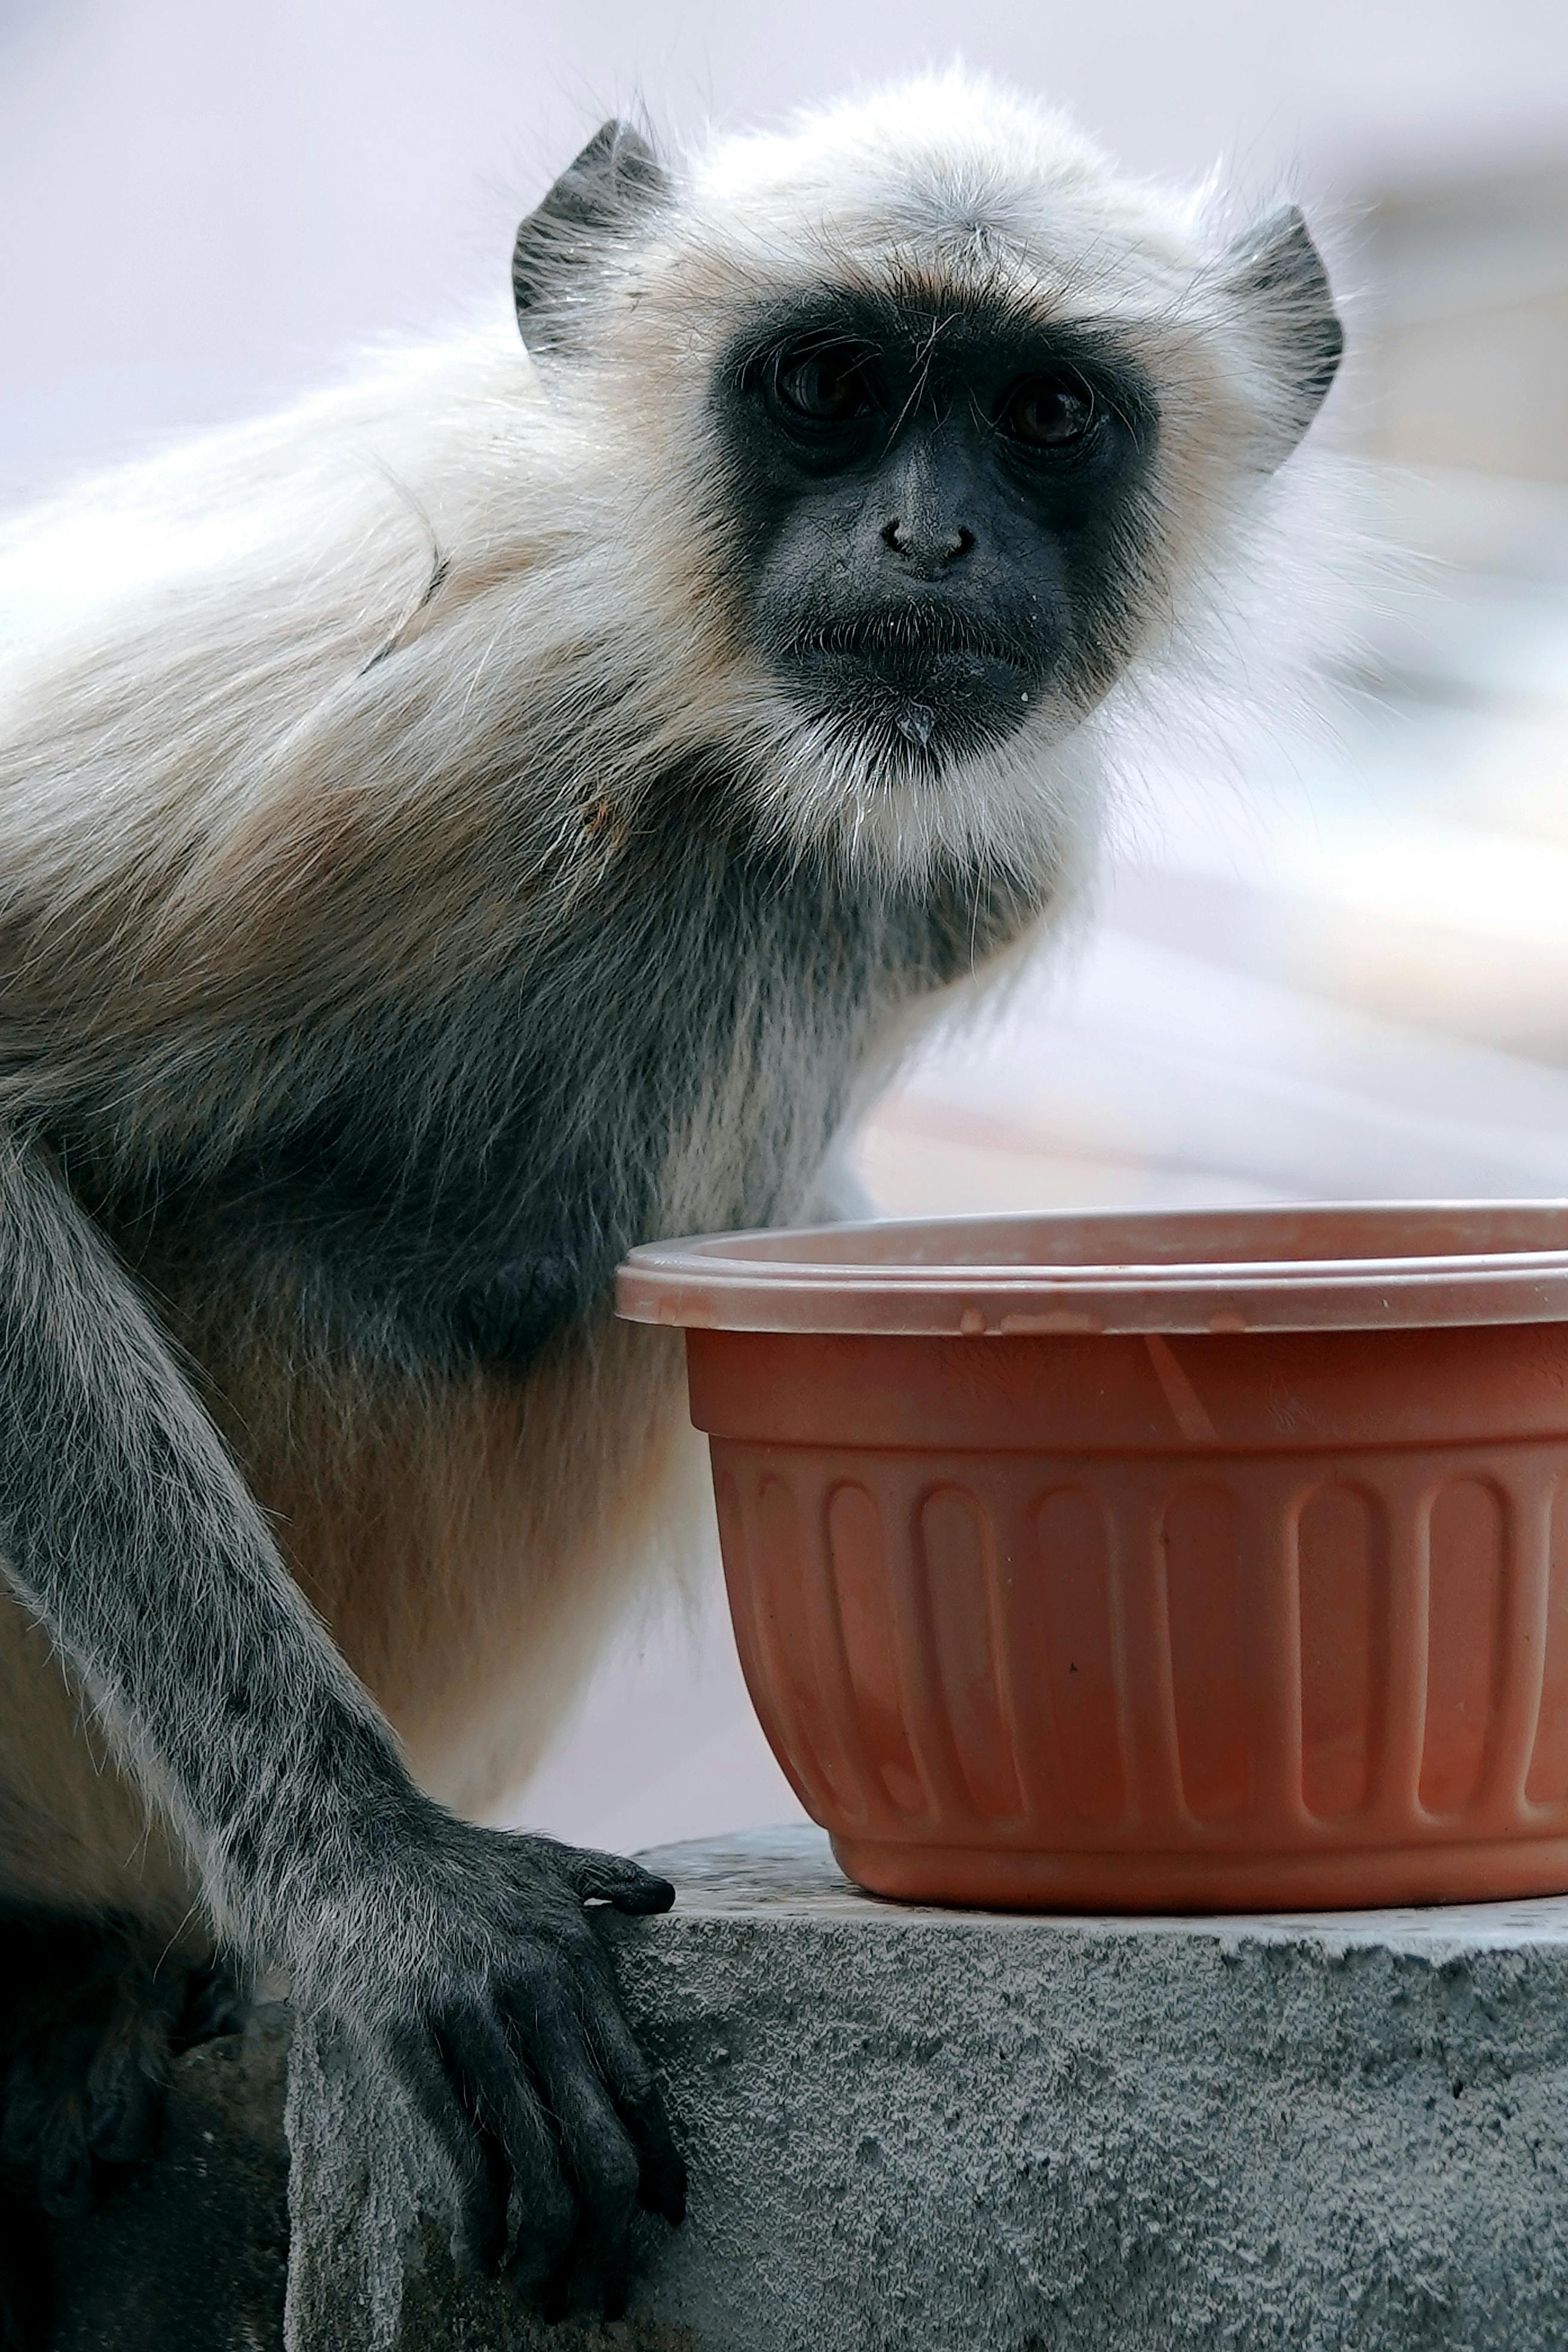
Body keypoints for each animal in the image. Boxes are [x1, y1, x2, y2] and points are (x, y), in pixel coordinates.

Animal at [0, 69, 1341, 2337]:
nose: (925, 538)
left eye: (1043, 414)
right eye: (824, 384)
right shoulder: (435, 688)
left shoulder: (983, 851)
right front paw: (381, 1888)